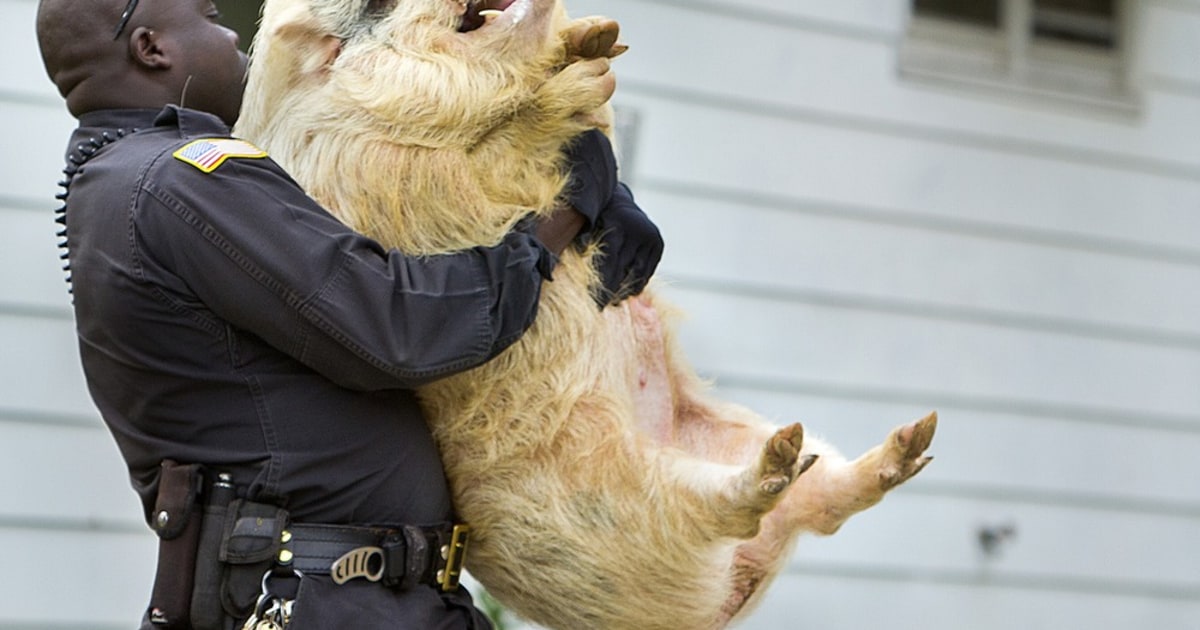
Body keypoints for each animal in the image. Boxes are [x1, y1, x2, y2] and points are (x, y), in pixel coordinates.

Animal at [235, 0, 937, 627]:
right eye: (377, 6)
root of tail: (724, 594)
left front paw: (600, 38)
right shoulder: (401, 180)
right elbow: (492, 161)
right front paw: (573, 79)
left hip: (730, 430)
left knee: (824, 500)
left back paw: (905, 443)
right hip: (629, 495)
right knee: (730, 507)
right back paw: (781, 466)